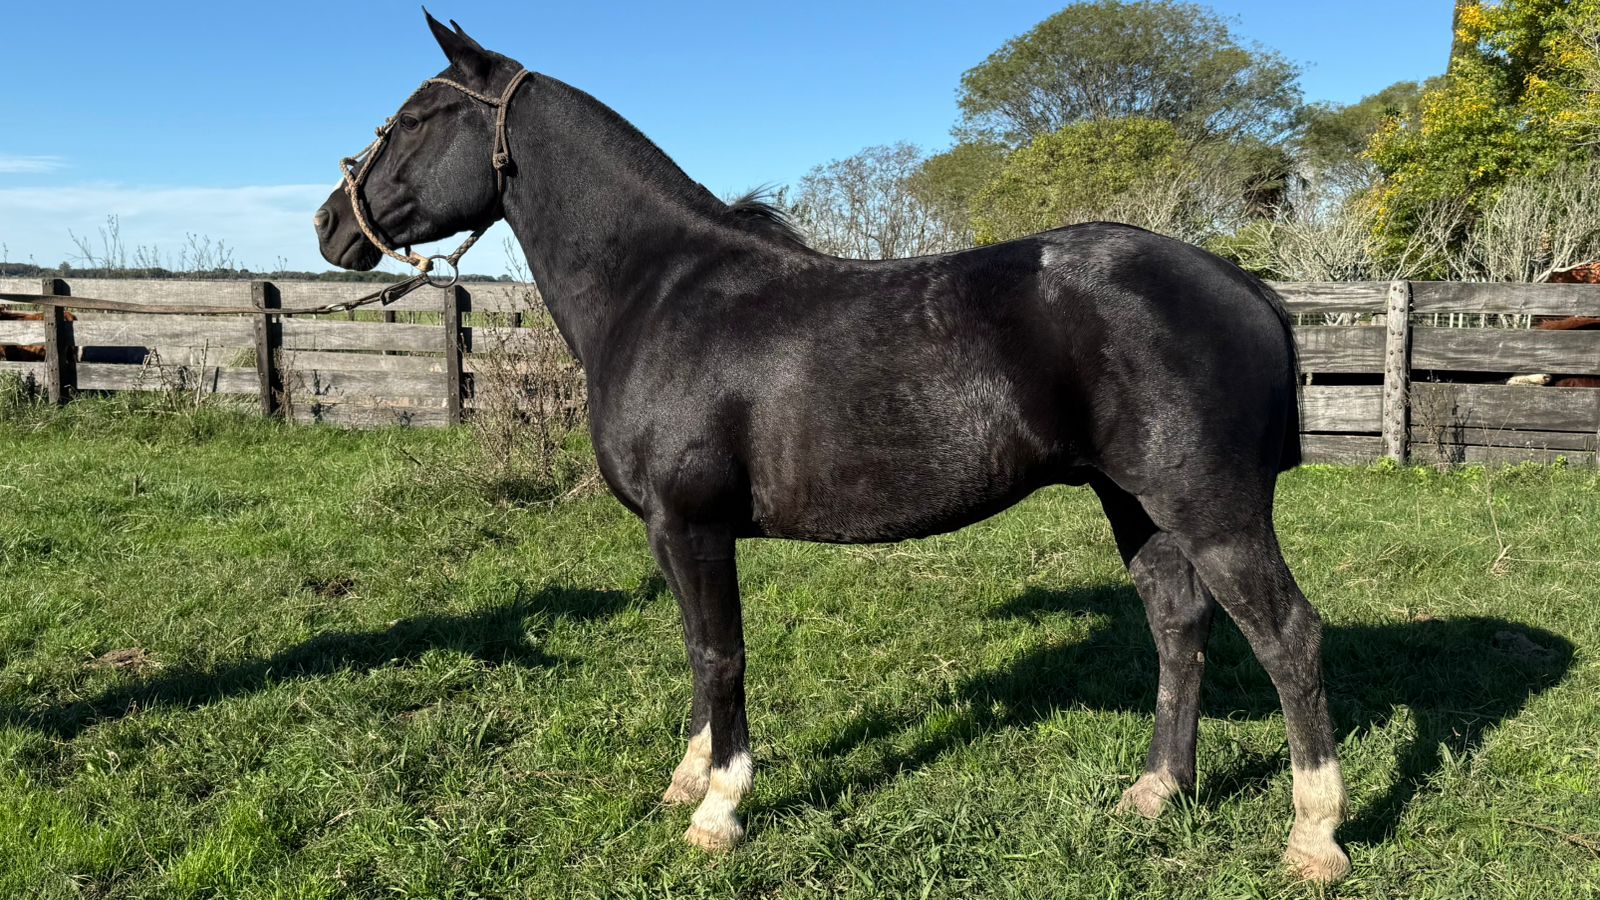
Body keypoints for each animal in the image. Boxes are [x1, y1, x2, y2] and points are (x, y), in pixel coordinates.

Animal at [313, 12, 1349, 881]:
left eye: (416, 119)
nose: (330, 224)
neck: (659, 291)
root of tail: (1243, 283)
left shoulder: (692, 525)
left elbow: (720, 654)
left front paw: (719, 809)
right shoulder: (671, 534)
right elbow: (697, 650)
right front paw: (691, 777)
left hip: (1210, 509)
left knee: (1287, 635)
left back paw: (1315, 837)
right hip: (1135, 503)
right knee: (1179, 626)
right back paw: (1157, 791)